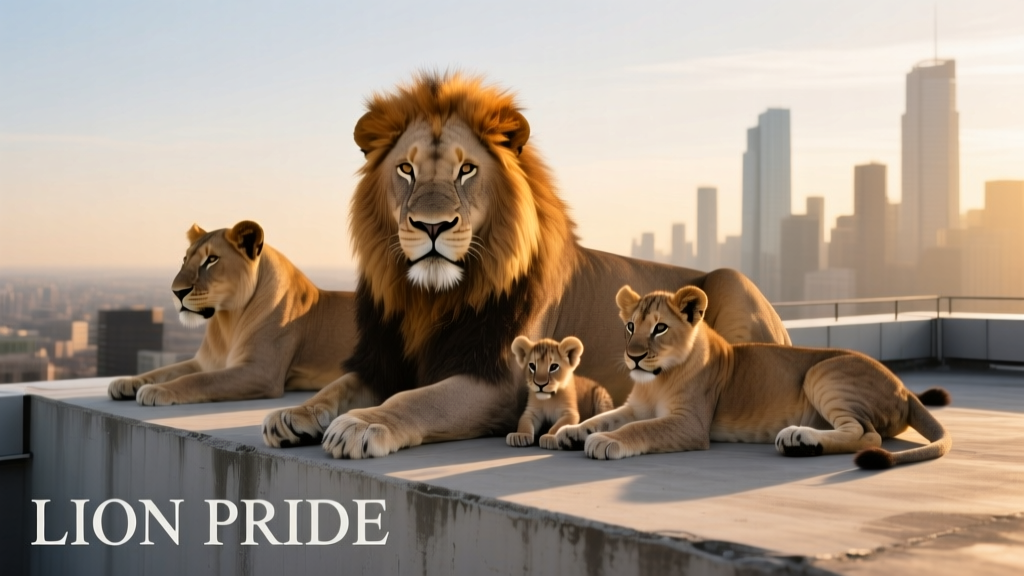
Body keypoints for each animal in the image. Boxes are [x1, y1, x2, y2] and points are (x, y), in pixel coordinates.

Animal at [108, 220, 361, 406]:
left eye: (211, 259)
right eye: (185, 259)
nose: (176, 292)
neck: (227, 320)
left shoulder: (261, 372)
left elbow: (197, 380)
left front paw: (156, 390)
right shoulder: (205, 362)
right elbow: (167, 370)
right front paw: (128, 382)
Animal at [261, 72, 791, 459]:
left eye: (466, 170)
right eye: (405, 169)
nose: (432, 226)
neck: (430, 299)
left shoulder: (496, 384)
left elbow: (416, 399)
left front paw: (361, 424)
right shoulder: (384, 359)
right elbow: (338, 388)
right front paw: (295, 415)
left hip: (731, 280)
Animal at [554, 285, 952, 469]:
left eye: (660, 328)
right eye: (631, 326)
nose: (634, 357)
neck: (657, 380)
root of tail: (904, 388)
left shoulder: (691, 424)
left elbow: (638, 429)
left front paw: (605, 441)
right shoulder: (635, 407)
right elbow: (606, 417)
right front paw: (572, 432)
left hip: (822, 373)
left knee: (867, 435)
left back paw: (799, 438)